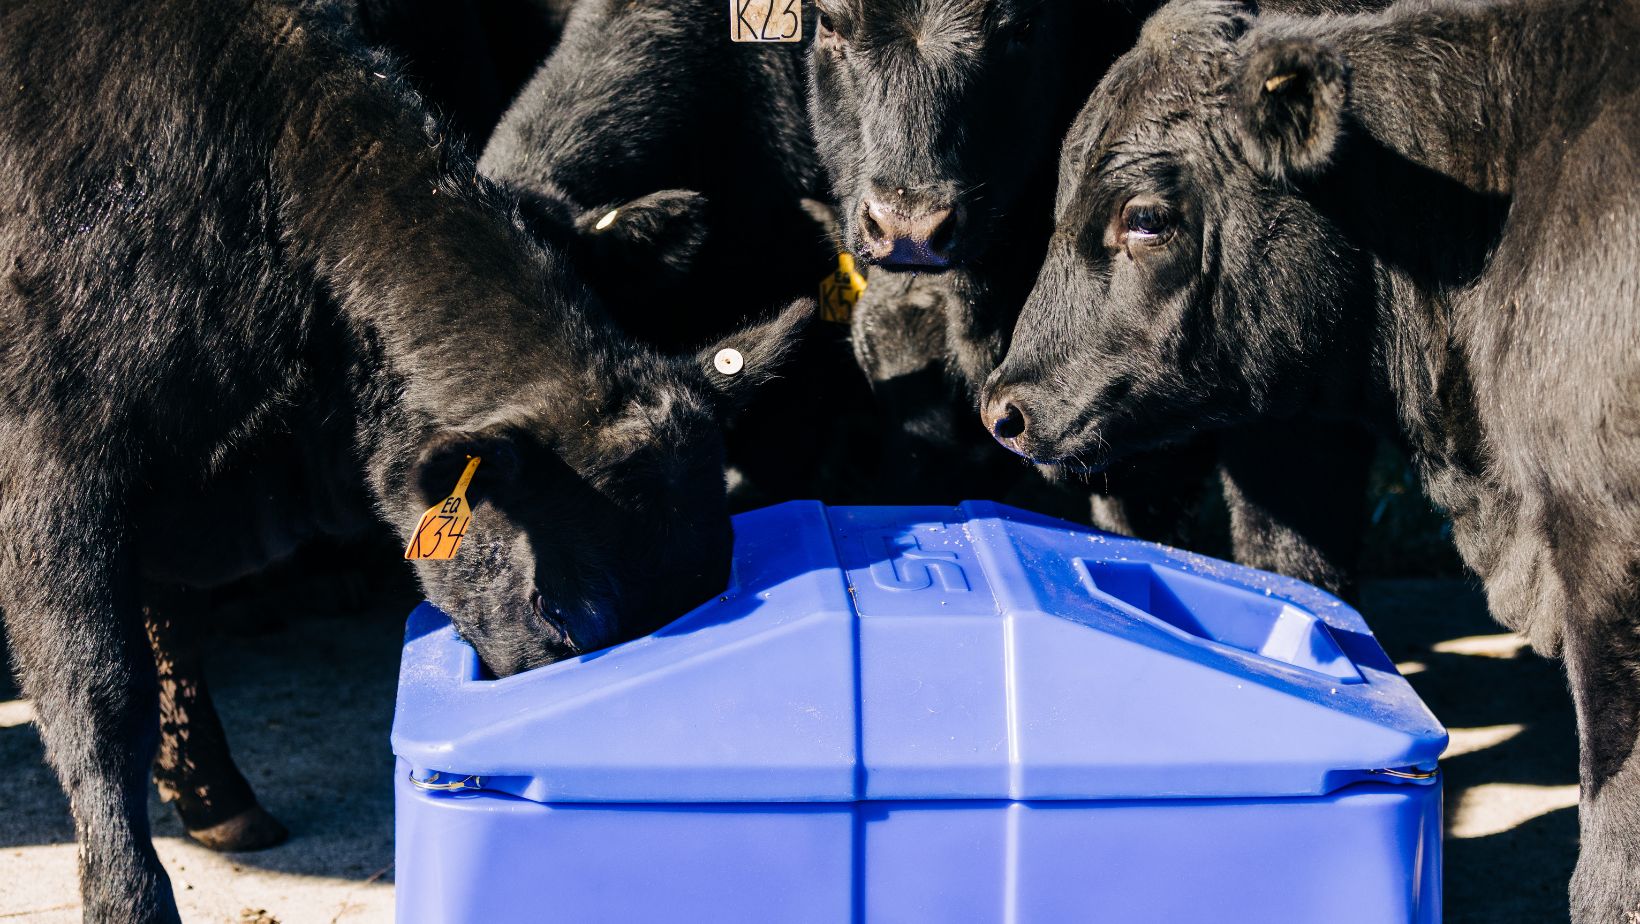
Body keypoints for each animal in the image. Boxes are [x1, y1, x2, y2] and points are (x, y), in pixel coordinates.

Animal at [0, 0, 804, 917]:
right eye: (560, 613)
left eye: (713, 581)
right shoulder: (56, 469)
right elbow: (102, 695)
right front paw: (128, 897)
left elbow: (163, 642)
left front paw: (213, 799)